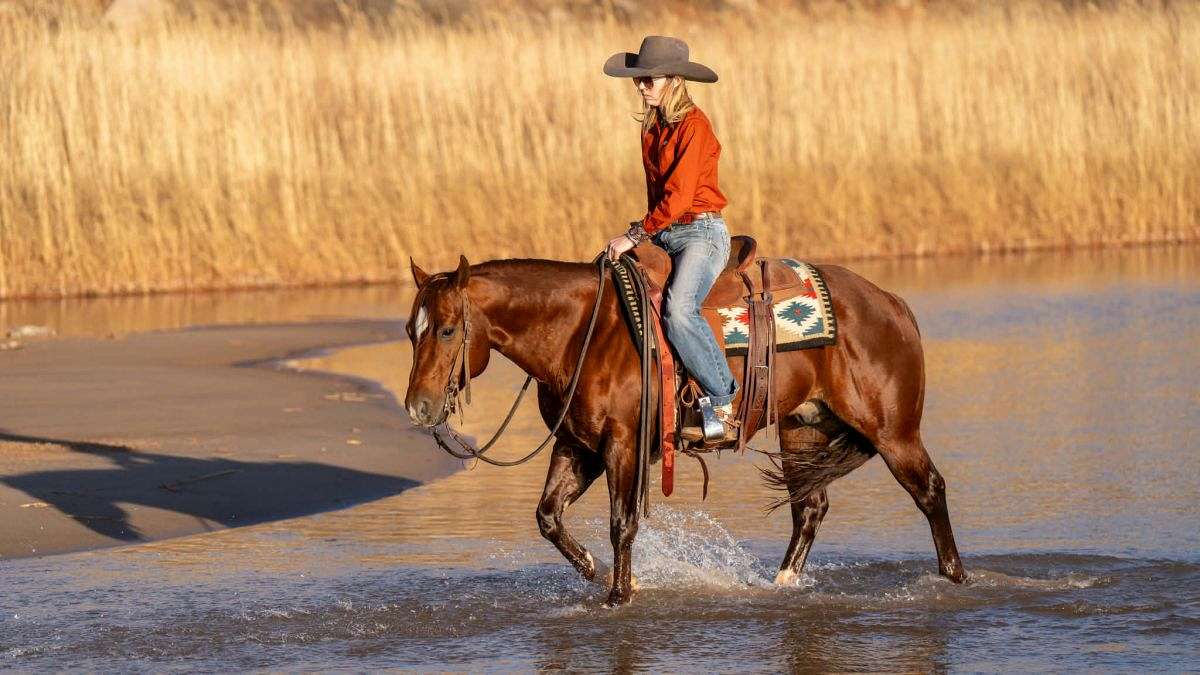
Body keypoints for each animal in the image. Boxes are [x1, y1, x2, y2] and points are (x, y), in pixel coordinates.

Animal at [404, 252, 965, 606]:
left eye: (448, 329)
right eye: (411, 330)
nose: (418, 407)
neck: (582, 334)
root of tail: (890, 302)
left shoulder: (622, 445)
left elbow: (622, 523)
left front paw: (619, 595)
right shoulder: (576, 445)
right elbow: (548, 517)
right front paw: (594, 569)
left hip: (894, 433)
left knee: (929, 490)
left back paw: (955, 578)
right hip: (803, 428)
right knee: (809, 508)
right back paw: (780, 585)